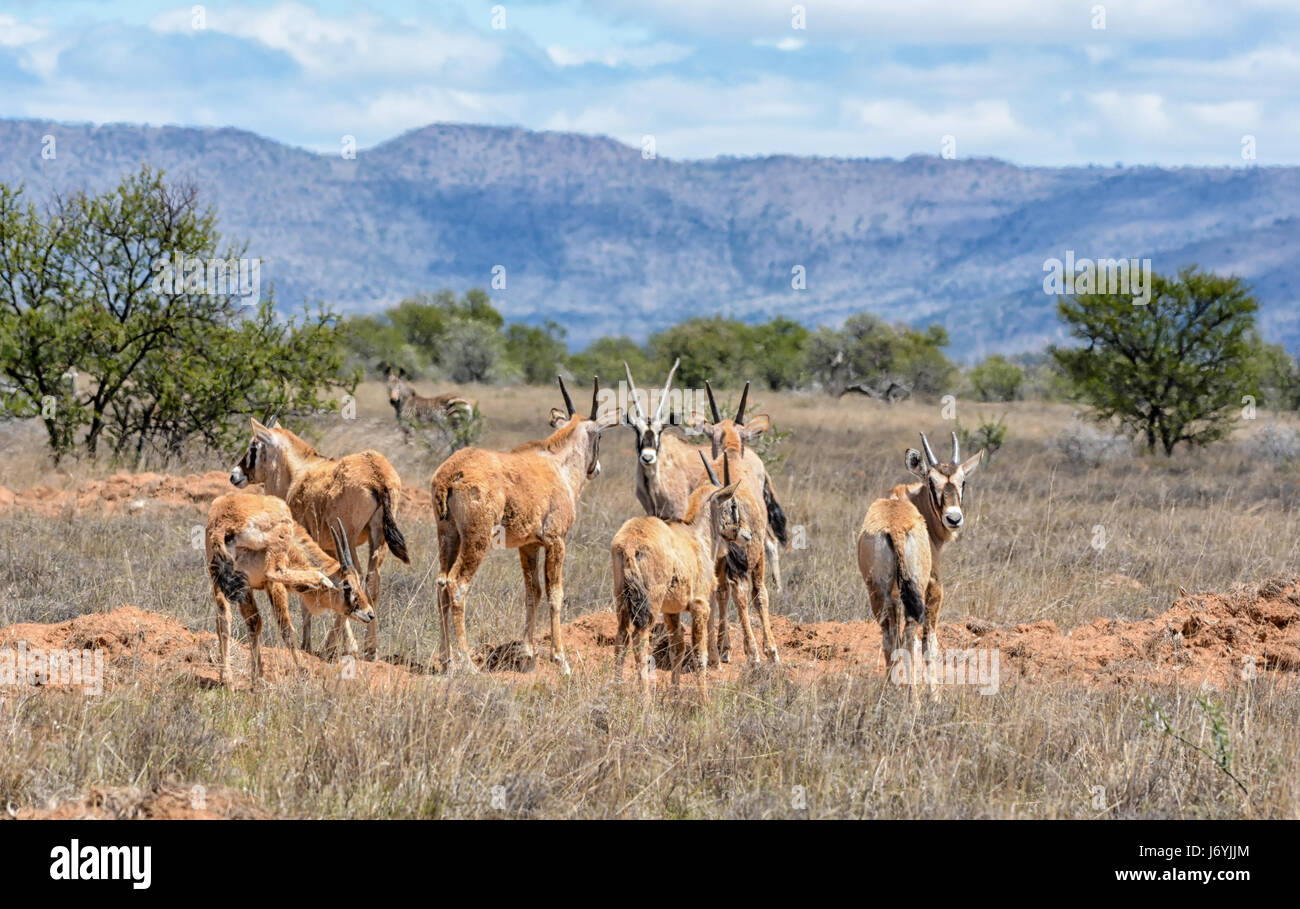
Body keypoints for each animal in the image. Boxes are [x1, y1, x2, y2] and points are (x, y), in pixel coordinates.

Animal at [206, 493, 373, 686]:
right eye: (347, 585)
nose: (369, 613)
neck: (295, 546)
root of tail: (224, 521)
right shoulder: (273, 585)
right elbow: (286, 628)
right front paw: (304, 672)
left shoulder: (246, 587)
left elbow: (254, 624)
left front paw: (258, 677)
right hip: (275, 550)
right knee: (275, 572)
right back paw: (319, 578)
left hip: (218, 578)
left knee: (223, 619)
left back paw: (227, 678)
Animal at [229, 417, 409, 660]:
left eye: (253, 446)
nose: (234, 475)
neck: (299, 470)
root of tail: (377, 474)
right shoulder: (329, 546)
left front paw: (308, 644)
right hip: (377, 539)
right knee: (372, 580)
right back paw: (370, 650)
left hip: (349, 536)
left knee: (358, 574)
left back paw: (332, 646)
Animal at [430, 376, 620, 674]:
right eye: (599, 435)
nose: (596, 469)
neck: (557, 464)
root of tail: (452, 472)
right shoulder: (556, 541)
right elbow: (555, 593)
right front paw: (560, 659)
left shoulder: (528, 546)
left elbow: (533, 592)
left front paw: (528, 654)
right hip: (477, 540)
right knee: (456, 584)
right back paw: (467, 664)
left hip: (448, 536)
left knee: (441, 585)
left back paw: (447, 659)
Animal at [612, 452, 744, 694]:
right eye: (732, 504)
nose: (745, 533)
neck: (696, 534)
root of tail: (630, 543)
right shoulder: (700, 607)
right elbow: (699, 655)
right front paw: (703, 698)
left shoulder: (671, 611)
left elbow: (678, 649)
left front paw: (674, 693)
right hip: (650, 606)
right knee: (639, 641)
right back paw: (645, 697)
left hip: (623, 602)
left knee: (621, 639)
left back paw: (616, 691)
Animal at [856, 431, 984, 697]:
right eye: (932, 482)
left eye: (963, 482)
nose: (954, 518)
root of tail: (894, 526)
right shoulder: (934, 587)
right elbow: (929, 642)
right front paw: (934, 695)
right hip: (915, 589)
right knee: (909, 634)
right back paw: (913, 697)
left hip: (879, 591)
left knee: (889, 634)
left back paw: (890, 690)